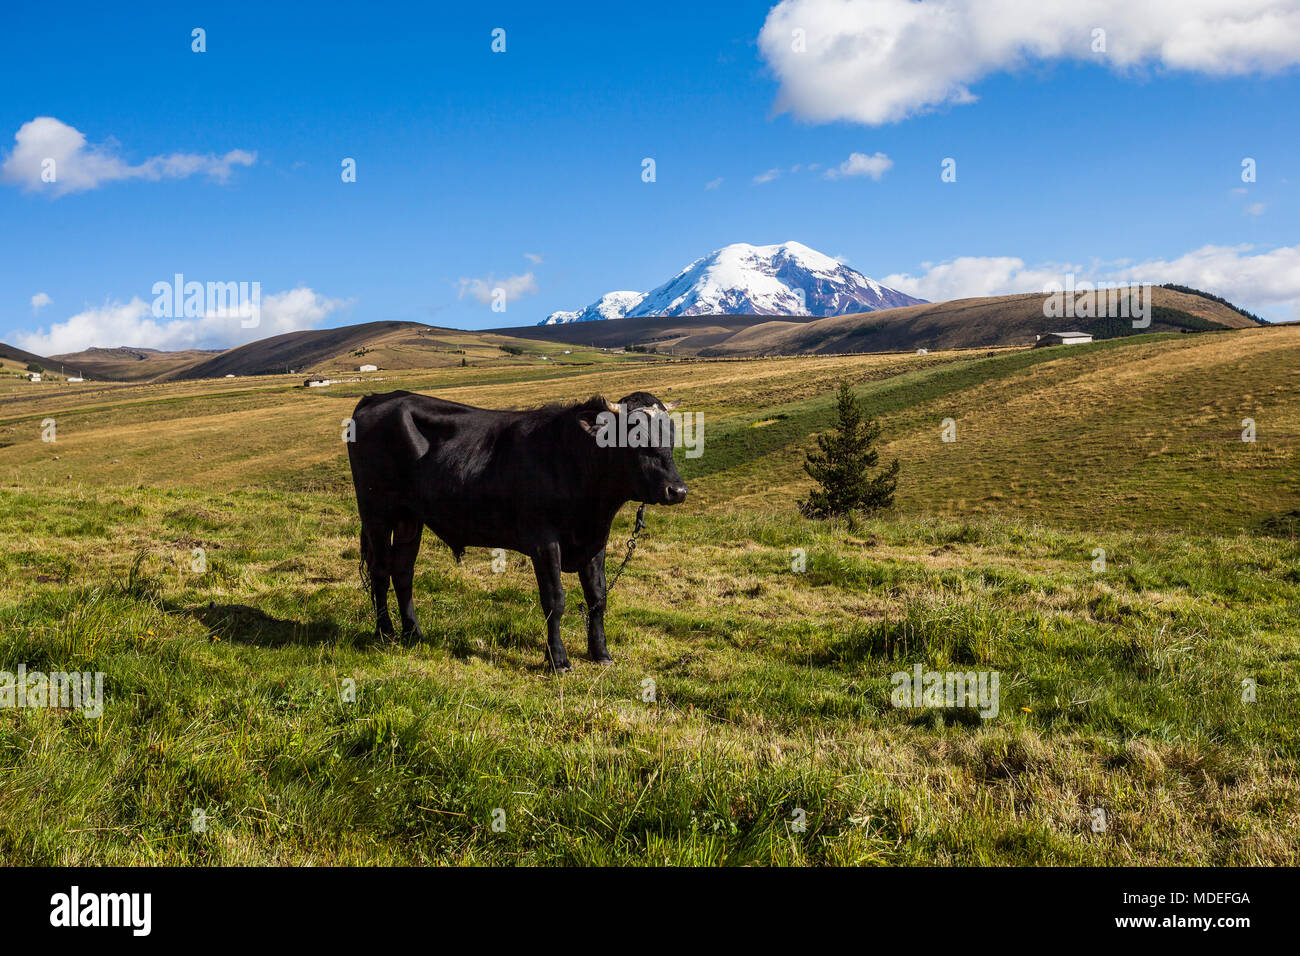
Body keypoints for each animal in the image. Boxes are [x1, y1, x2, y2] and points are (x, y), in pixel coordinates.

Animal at [347, 390, 688, 671]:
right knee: (380, 571)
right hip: (377, 514)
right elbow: (555, 600)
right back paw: (385, 632)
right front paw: (558, 660)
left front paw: (600, 653)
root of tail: (378, 398)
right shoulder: (543, 541)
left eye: (671, 434)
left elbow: (597, 597)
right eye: (635, 435)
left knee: (403, 571)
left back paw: (413, 633)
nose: (678, 490)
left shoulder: (594, 540)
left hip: (409, 518)